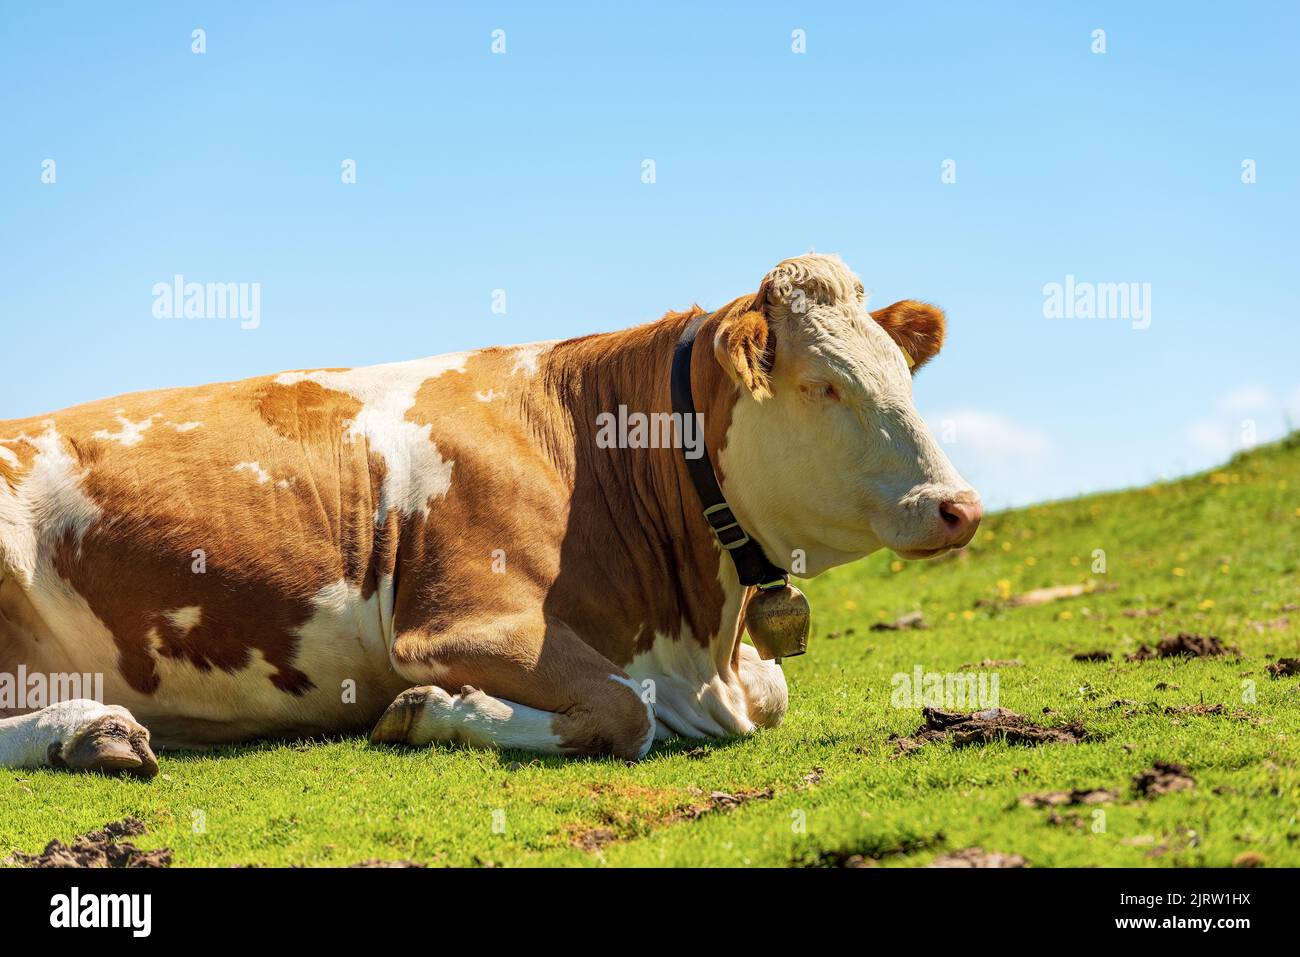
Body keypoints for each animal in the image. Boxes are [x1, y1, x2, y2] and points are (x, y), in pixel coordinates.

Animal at [0, 254, 980, 776]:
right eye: (825, 384)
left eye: (900, 370)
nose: (958, 506)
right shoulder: (460, 621)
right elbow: (622, 710)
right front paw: (434, 708)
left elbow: (768, 692)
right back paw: (87, 729)